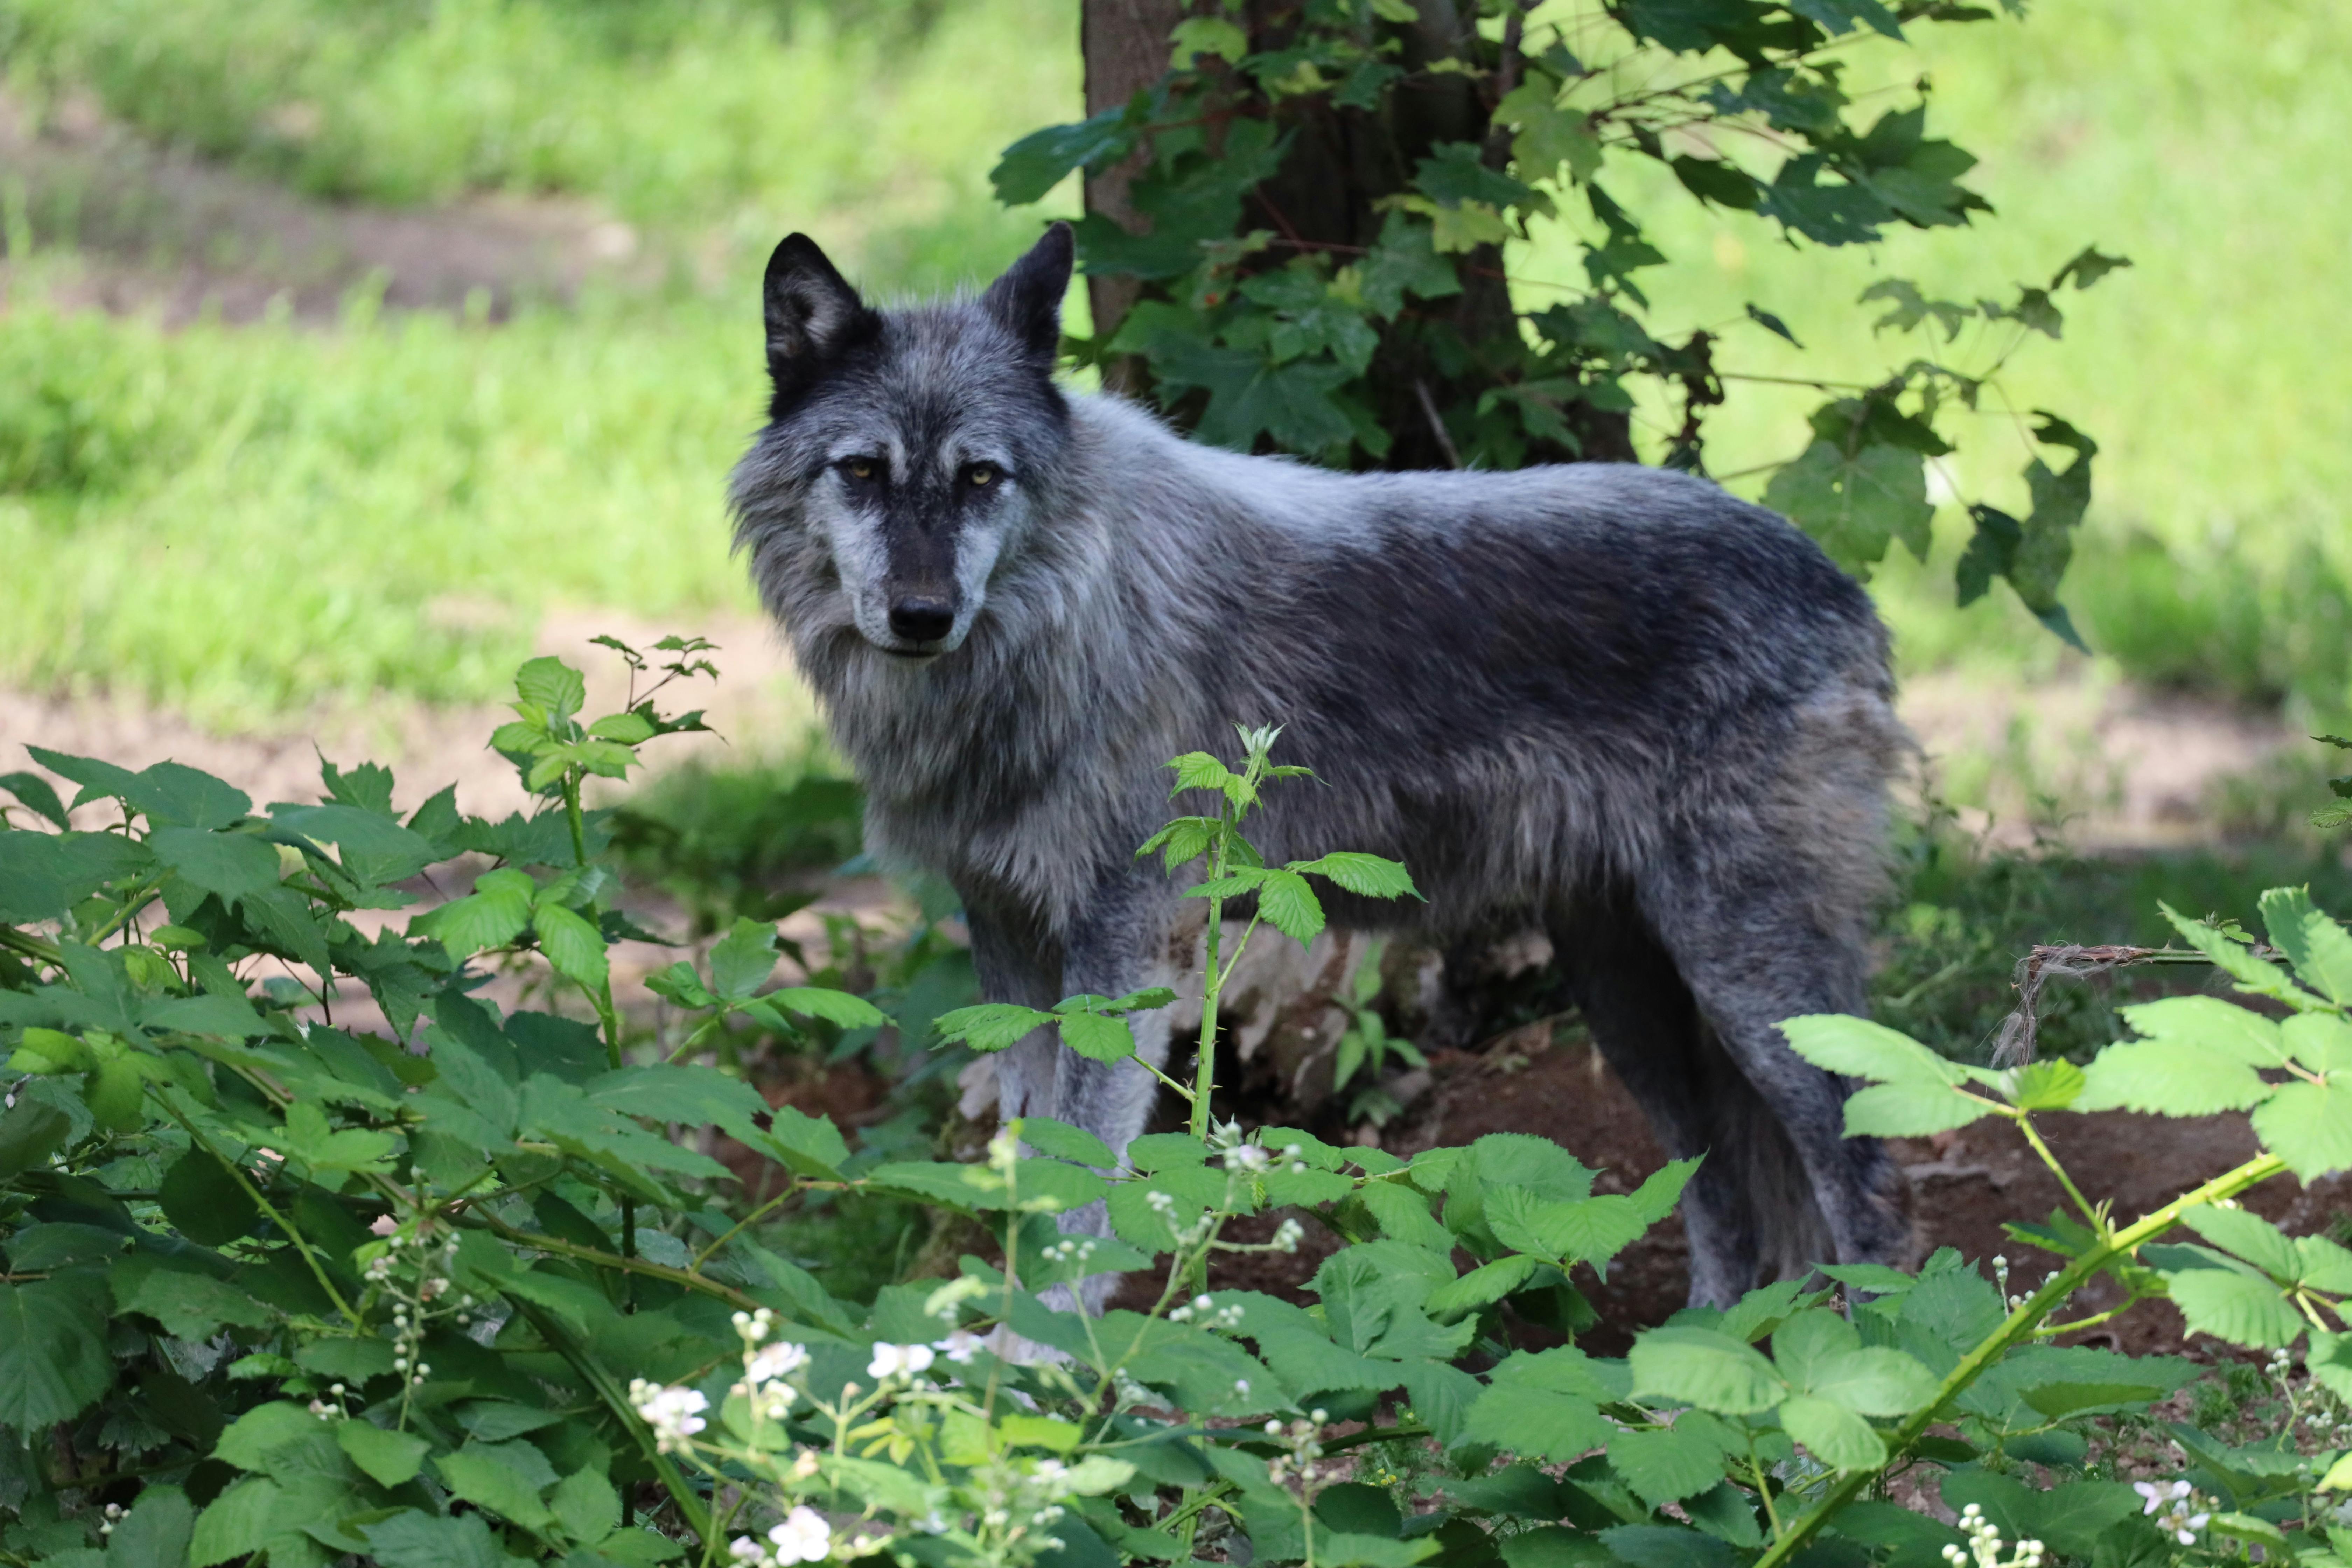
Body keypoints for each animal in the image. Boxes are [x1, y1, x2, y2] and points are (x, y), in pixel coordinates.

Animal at [729, 222, 1913, 1307]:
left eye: (981, 477)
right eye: (863, 472)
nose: (921, 616)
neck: (1069, 620)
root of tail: (1841, 584)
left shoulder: (1125, 948)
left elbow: (1080, 1208)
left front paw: (1045, 1374)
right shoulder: (1009, 948)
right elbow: (1032, 1184)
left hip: (1749, 984)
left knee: (1868, 1181)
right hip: (1627, 991)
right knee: (1720, 1195)